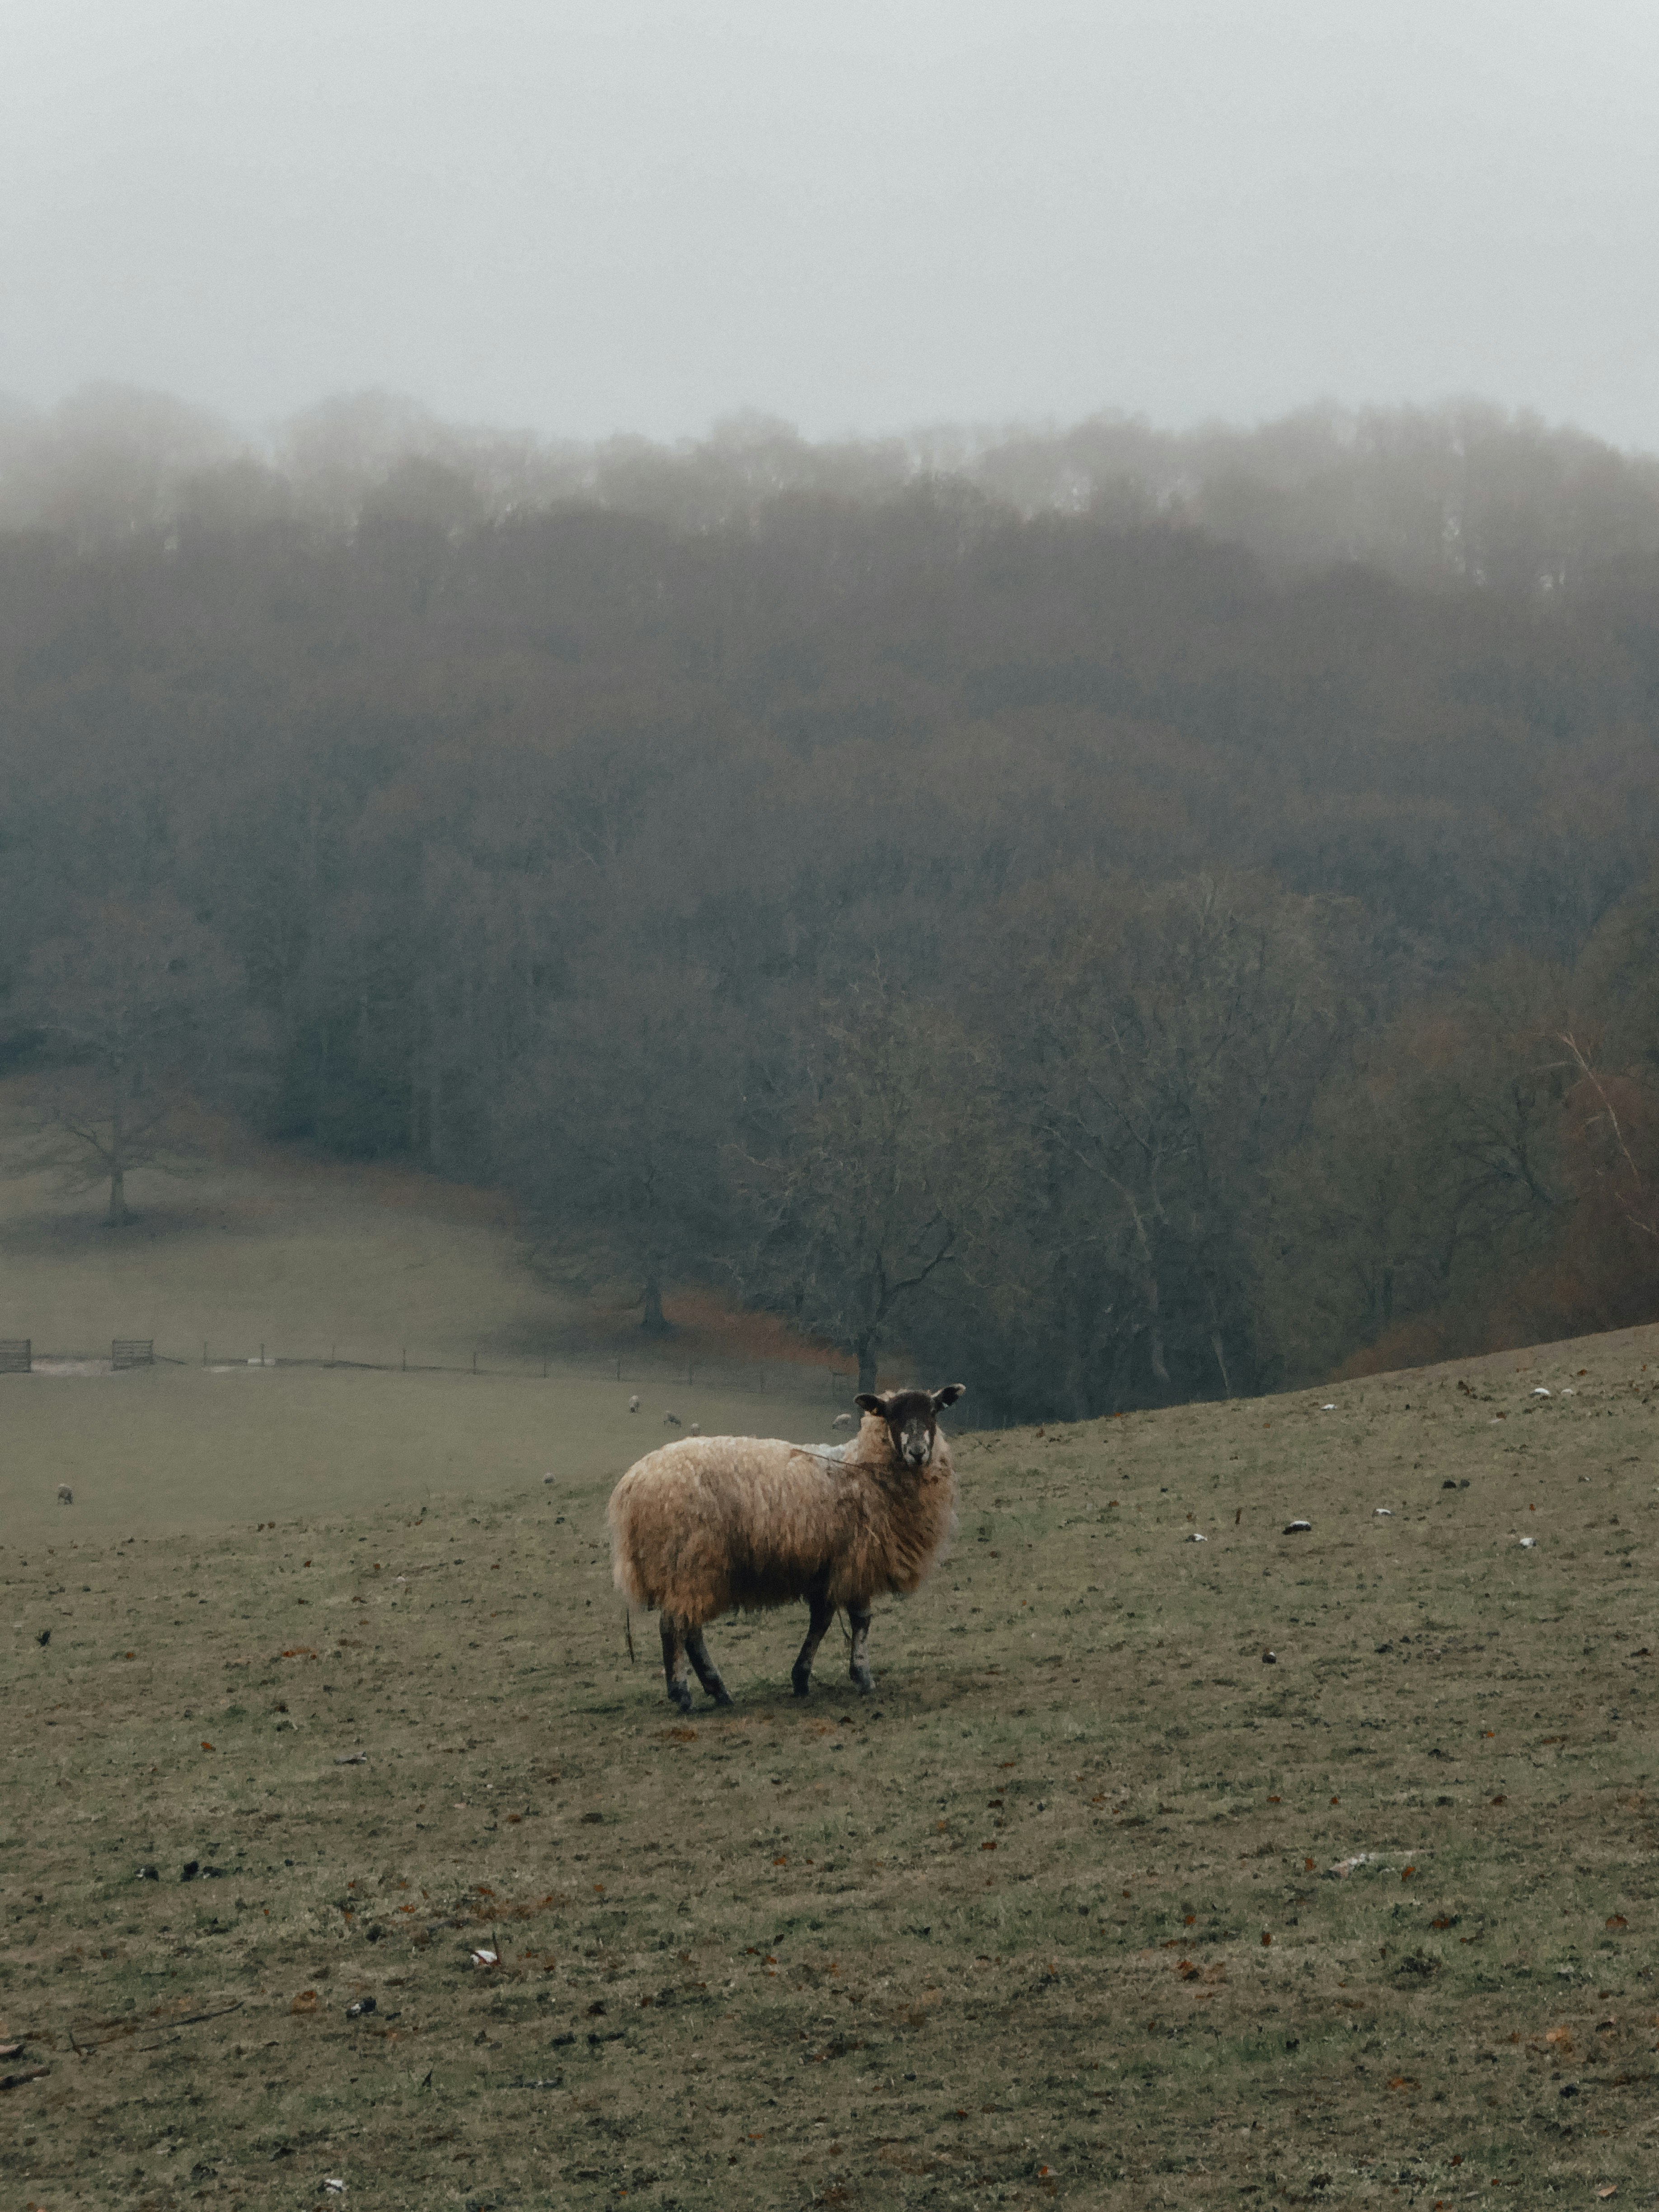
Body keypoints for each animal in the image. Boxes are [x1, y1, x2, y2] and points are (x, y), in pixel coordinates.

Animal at [608, 1384, 965, 1711]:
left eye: (933, 1412)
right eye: (891, 1415)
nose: (918, 1452)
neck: (863, 1469)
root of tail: (630, 1486)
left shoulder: (827, 1567)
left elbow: (821, 1621)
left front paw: (802, 1677)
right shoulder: (856, 1558)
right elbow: (861, 1619)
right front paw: (863, 1676)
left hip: (691, 1569)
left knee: (690, 1630)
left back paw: (718, 1691)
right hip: (687, 1561)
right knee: (673, 1628)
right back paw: (682, 1694)